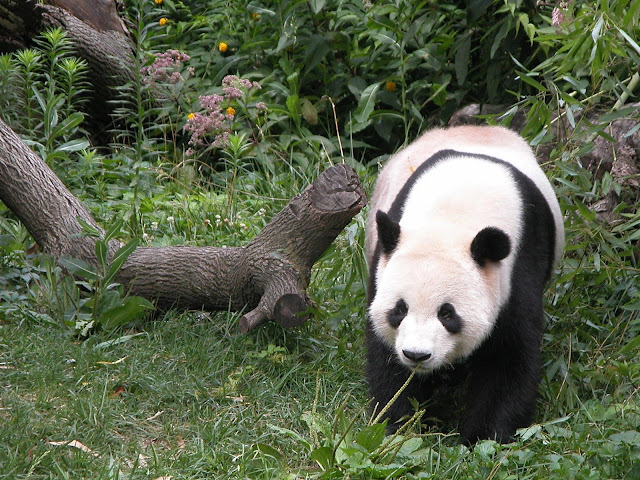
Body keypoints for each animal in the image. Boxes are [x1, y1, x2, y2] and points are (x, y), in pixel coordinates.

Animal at [365, 125, 564, 444]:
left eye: (447, 313)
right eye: (399, 309)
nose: (416, 355)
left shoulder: (518, 266)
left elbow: (507, 358)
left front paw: (483, 437)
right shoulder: (383, 266)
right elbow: (387, 359)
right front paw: (399, 424)